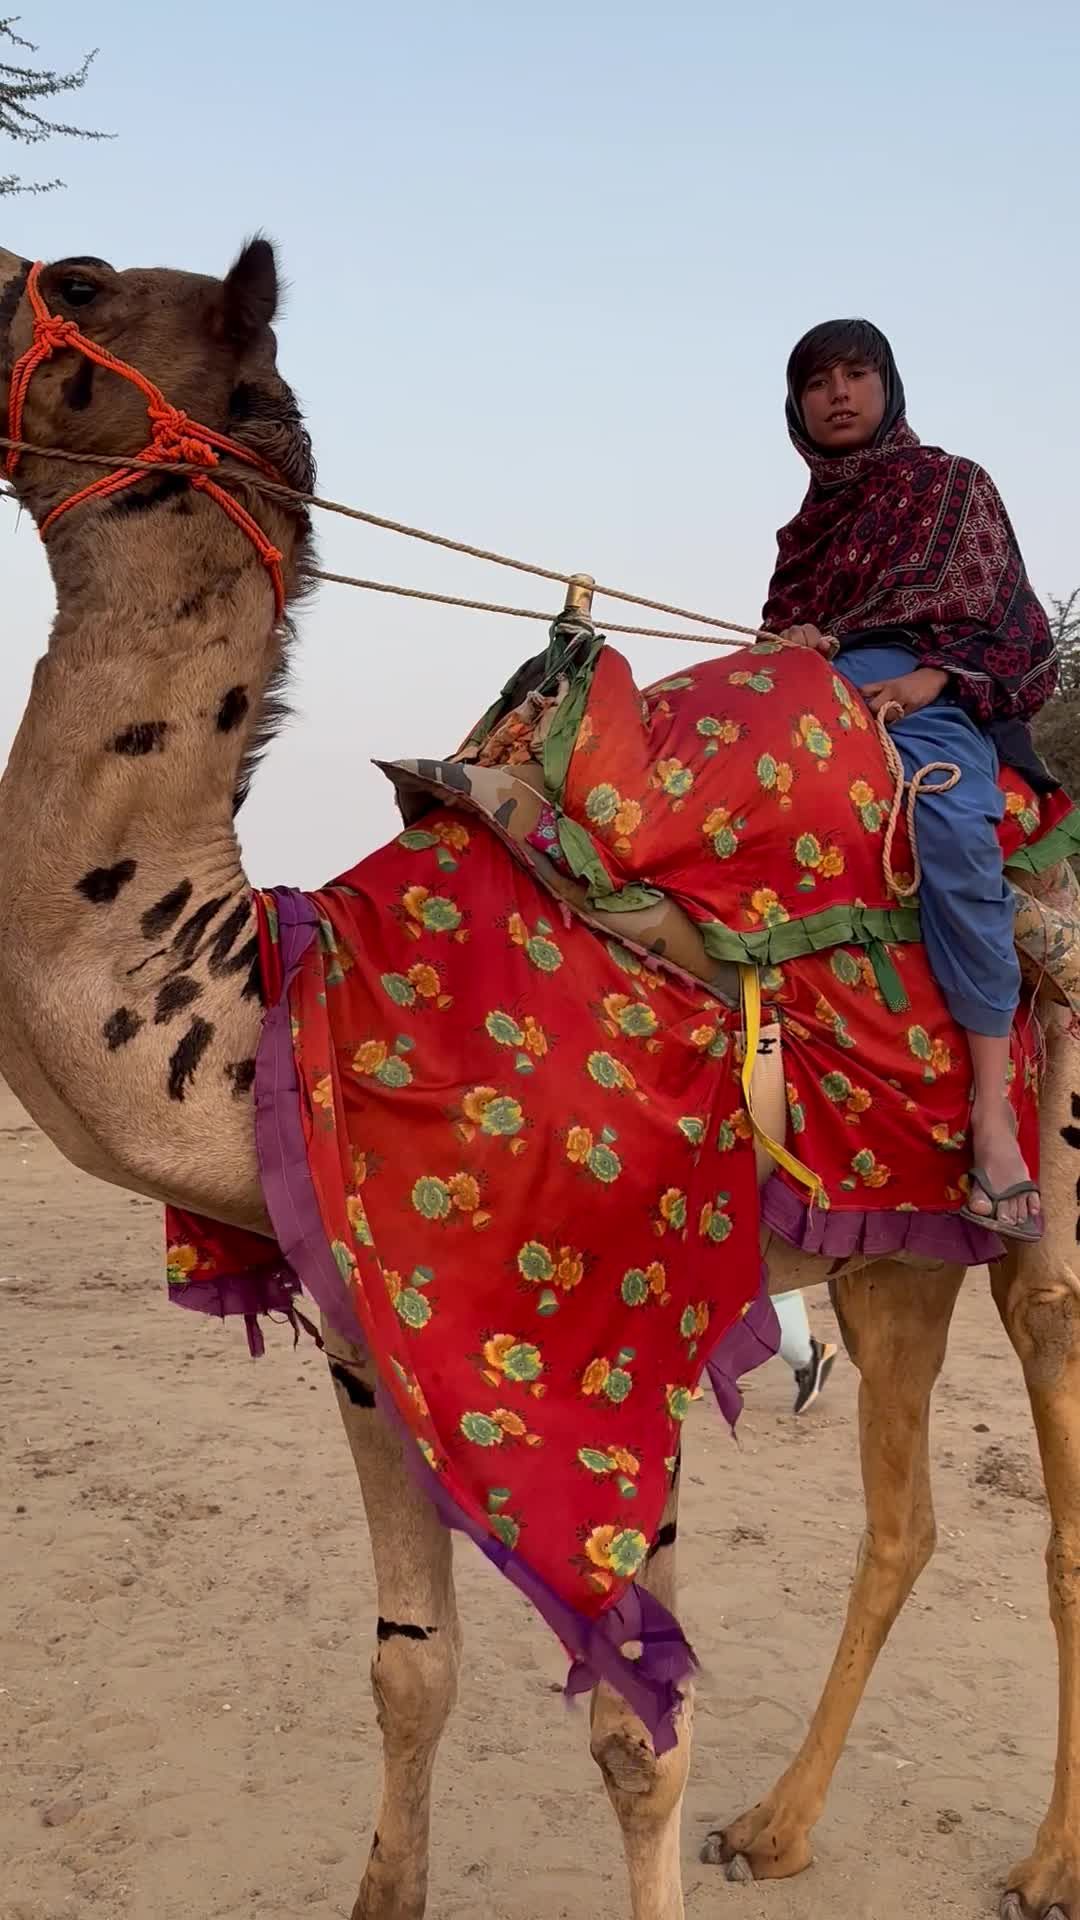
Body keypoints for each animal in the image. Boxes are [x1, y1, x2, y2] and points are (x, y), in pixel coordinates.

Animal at [0, 237, 1078, 1920]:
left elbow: (639, 1734)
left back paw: (1039, 1864)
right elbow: (408, 1671)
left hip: (1045, 1206)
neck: (306, 987)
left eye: (87, 283)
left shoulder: (607, 1342)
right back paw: (780, 1831)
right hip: (889, 1242)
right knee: (901, 1516)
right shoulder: (373, 1336)